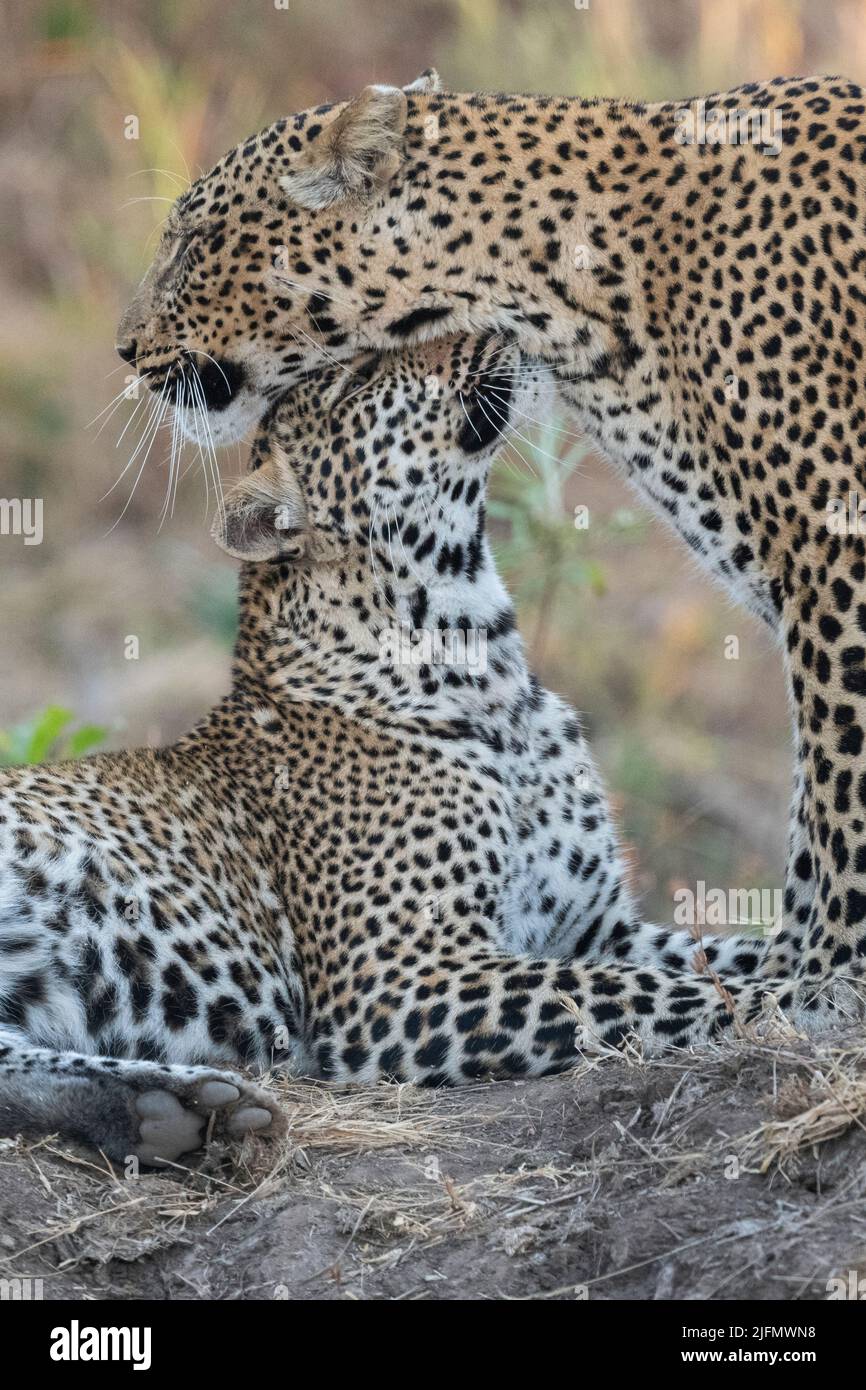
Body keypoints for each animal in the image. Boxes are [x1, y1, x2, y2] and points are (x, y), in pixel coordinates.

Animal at [3, 333, 841, 1168]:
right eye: (360, 373)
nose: (493, 329)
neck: (486, 663)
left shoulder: (594, 926)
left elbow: (735, 954)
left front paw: (825, 969)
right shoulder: (401, 978)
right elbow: (639, 991)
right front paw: (817, 999)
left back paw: (170, 1109)